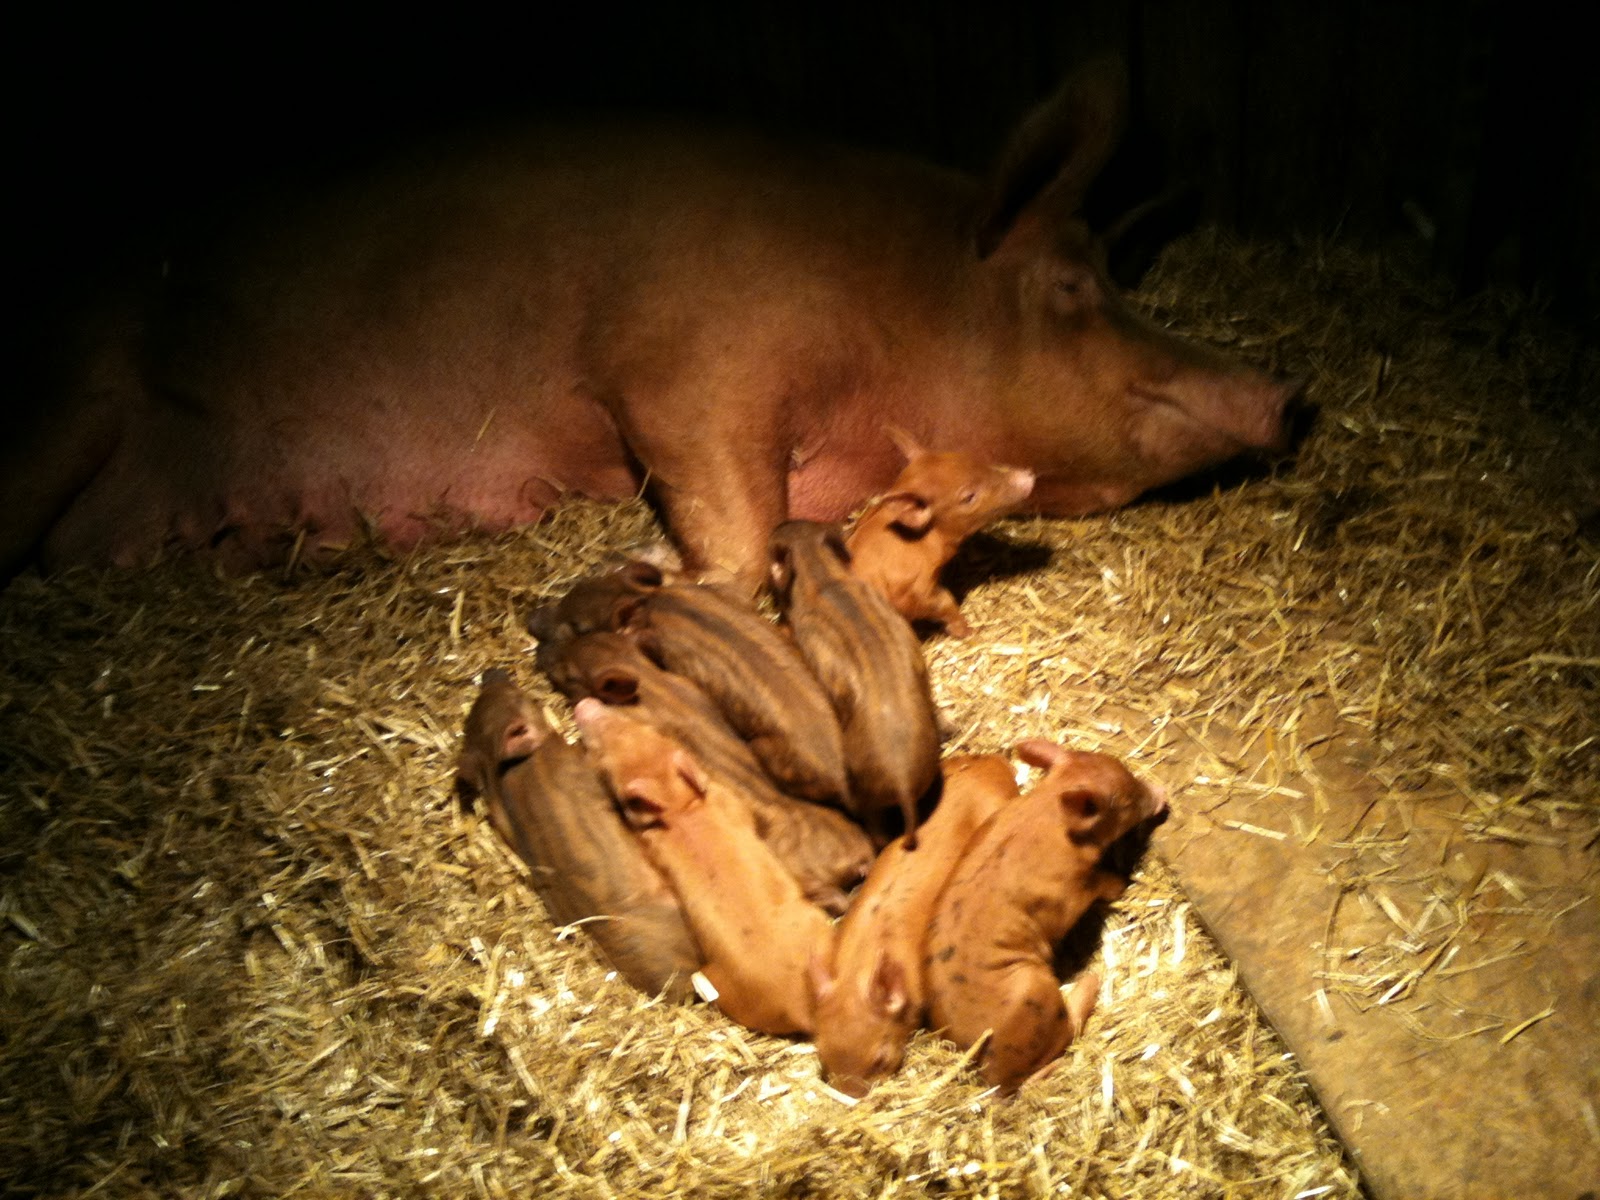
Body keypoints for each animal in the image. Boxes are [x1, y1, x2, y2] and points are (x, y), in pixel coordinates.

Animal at [2, 59, 1295, 585]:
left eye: (1116, 274)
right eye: (1075, 285)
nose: (1286, 391)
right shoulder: (682, 365)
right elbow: (734, 530)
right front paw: (652, 569)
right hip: (65, 388)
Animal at [845, 426, 1036, 636]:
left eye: (971, 459)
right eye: (969, 497)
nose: (1027, 475)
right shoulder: (914, 594)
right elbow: (946, 600)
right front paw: (968, 631)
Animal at [923, 739, 1169, 1095]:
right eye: (1127, 800)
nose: (1162, 791)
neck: (1049, 815)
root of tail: (989, 1073)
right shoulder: (1072, 893)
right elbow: (1105, 886)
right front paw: (1124, 881)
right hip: (1034, 992)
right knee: (1063, 1035)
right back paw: (1090, 981)